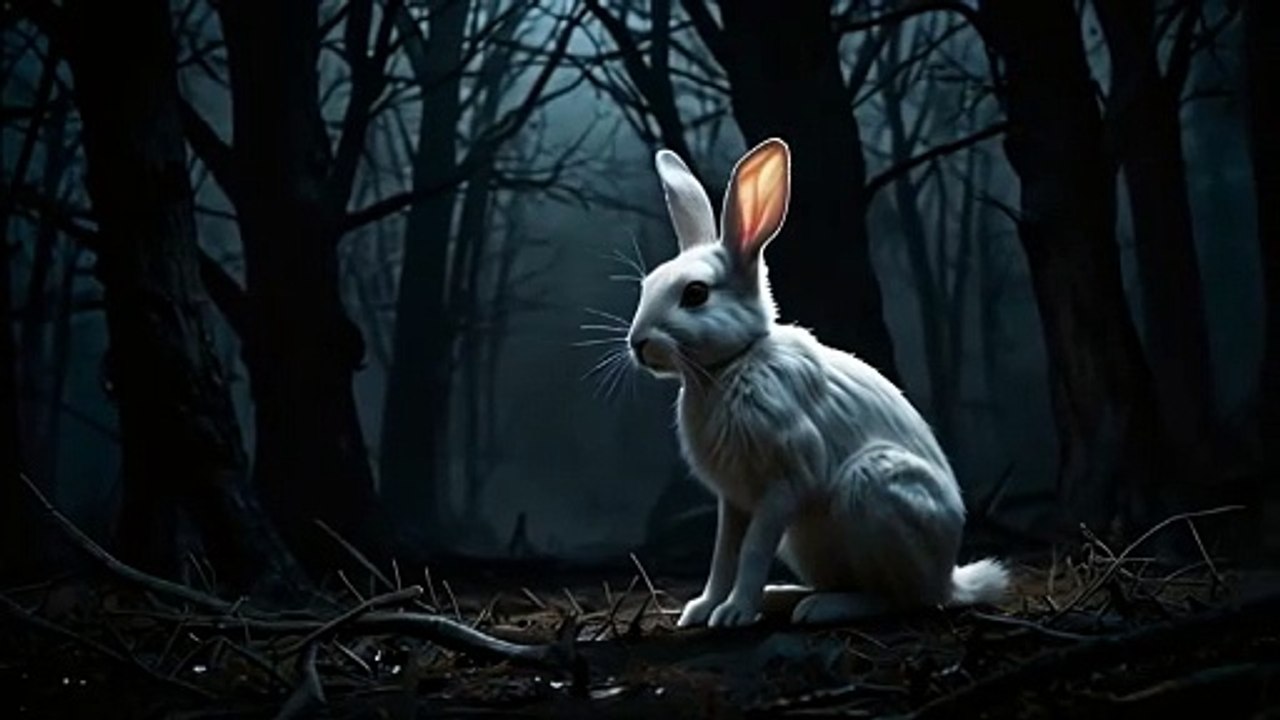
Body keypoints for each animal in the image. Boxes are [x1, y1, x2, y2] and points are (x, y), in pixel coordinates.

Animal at [625, 137, 1010, 628]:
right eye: (648, 285)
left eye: (695, 294)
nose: (638, 343)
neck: (733, 364)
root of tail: (948, 578)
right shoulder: (734, 500)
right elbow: (723, 555)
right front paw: (701, 610)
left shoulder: (783, 485)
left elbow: (751, 551)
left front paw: (733, 613)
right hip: (807, 541)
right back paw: (783, 597)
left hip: (875, 492)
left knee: (900, 599)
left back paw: (821, 609)